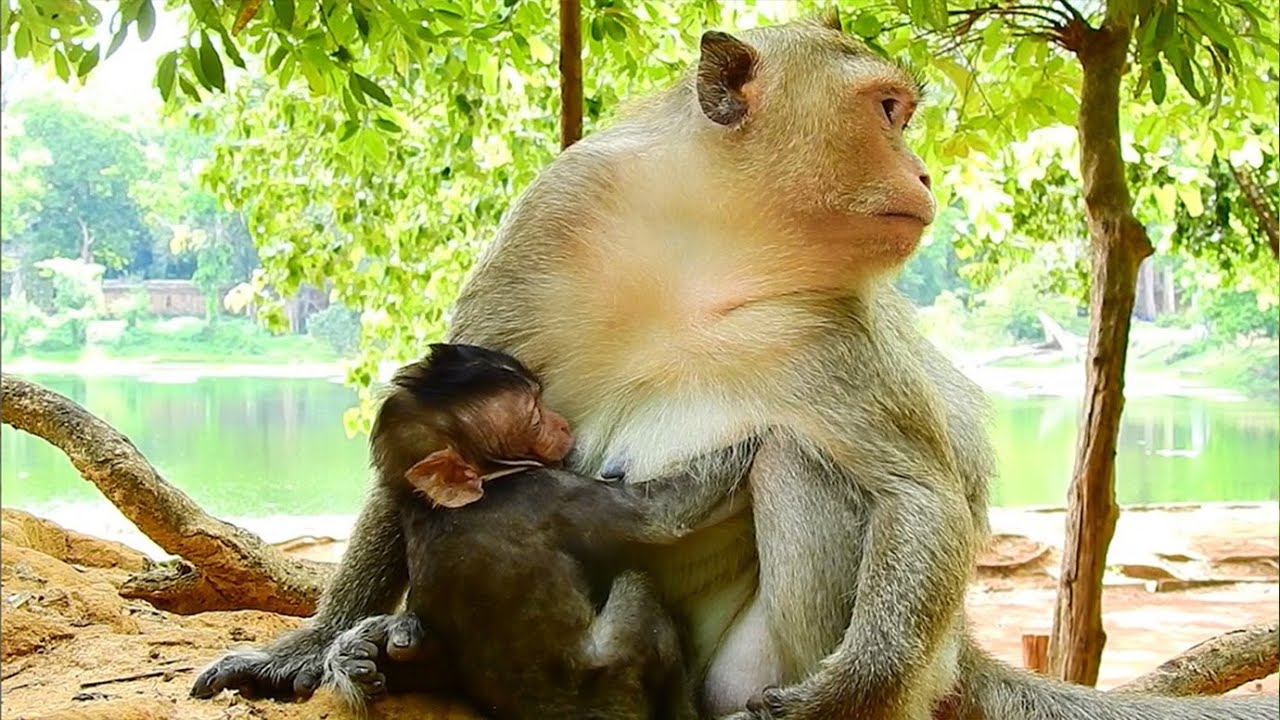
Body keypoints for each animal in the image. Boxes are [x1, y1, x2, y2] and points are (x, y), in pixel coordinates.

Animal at [318, 342, 758, 719]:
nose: (562, 424)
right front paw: (760, 439)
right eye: (533, 418)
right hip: (617, 677)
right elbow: (663, 514)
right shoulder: (548, 492)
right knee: (639, 590)